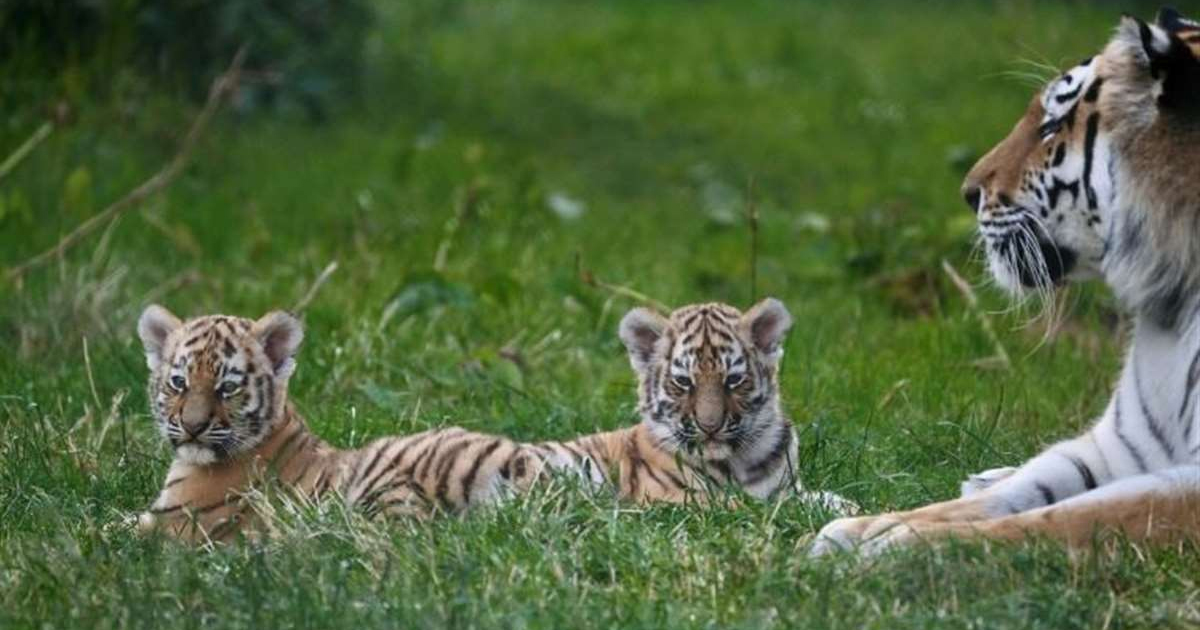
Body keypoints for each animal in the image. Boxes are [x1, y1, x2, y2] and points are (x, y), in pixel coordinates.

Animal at [133, 298, 852, 542]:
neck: (748, 453)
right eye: (681, 382)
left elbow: (817, 497)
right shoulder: (684, 500)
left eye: (732, 380)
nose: (706, 428)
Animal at [811, 7, 1200, 557]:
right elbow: (1023, 492)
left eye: (1053, 126)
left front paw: (900, 545)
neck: (1173, 302)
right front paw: (862, 528)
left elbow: (1082, 515)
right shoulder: (1117, 447)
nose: (969, 191)